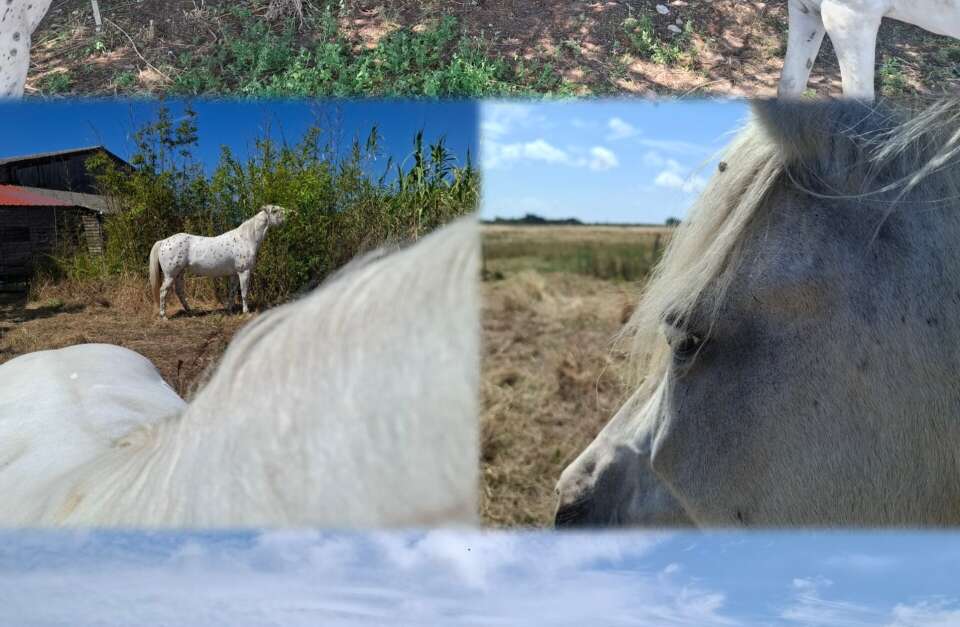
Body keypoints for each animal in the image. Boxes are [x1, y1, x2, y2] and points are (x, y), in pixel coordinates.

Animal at [149, 205, 288, 318]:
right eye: (275, 210)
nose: (289, 214)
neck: (246, 238)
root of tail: (163, 242)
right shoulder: (244, 271)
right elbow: (244, 292)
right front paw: (246, 312)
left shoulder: (234, 274)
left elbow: (232, 292)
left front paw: (230, 310)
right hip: (170, 274)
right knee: (163, 291)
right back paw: (164, 316)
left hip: (179, 273)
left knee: (179, 292)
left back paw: (191, 312)